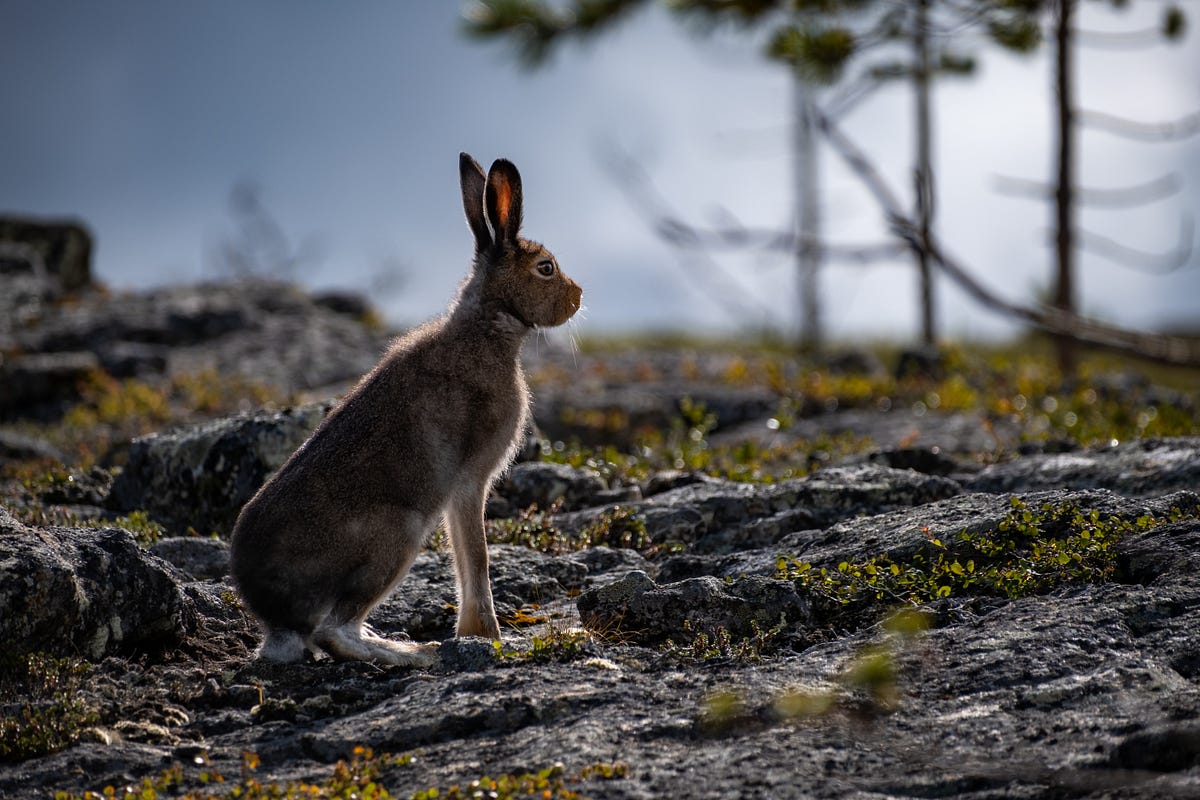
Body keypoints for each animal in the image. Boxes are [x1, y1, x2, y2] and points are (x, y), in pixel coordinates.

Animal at [229, 153, 582, 666]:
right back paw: (413, 653)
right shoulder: (470, 480)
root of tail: (277, 622)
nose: (579, 296)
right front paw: (491, 636)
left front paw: (474, 632)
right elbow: (478, 557)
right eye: (546, 267)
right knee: (334, 632)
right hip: (399, 533)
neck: (487, 325)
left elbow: (464, 557)